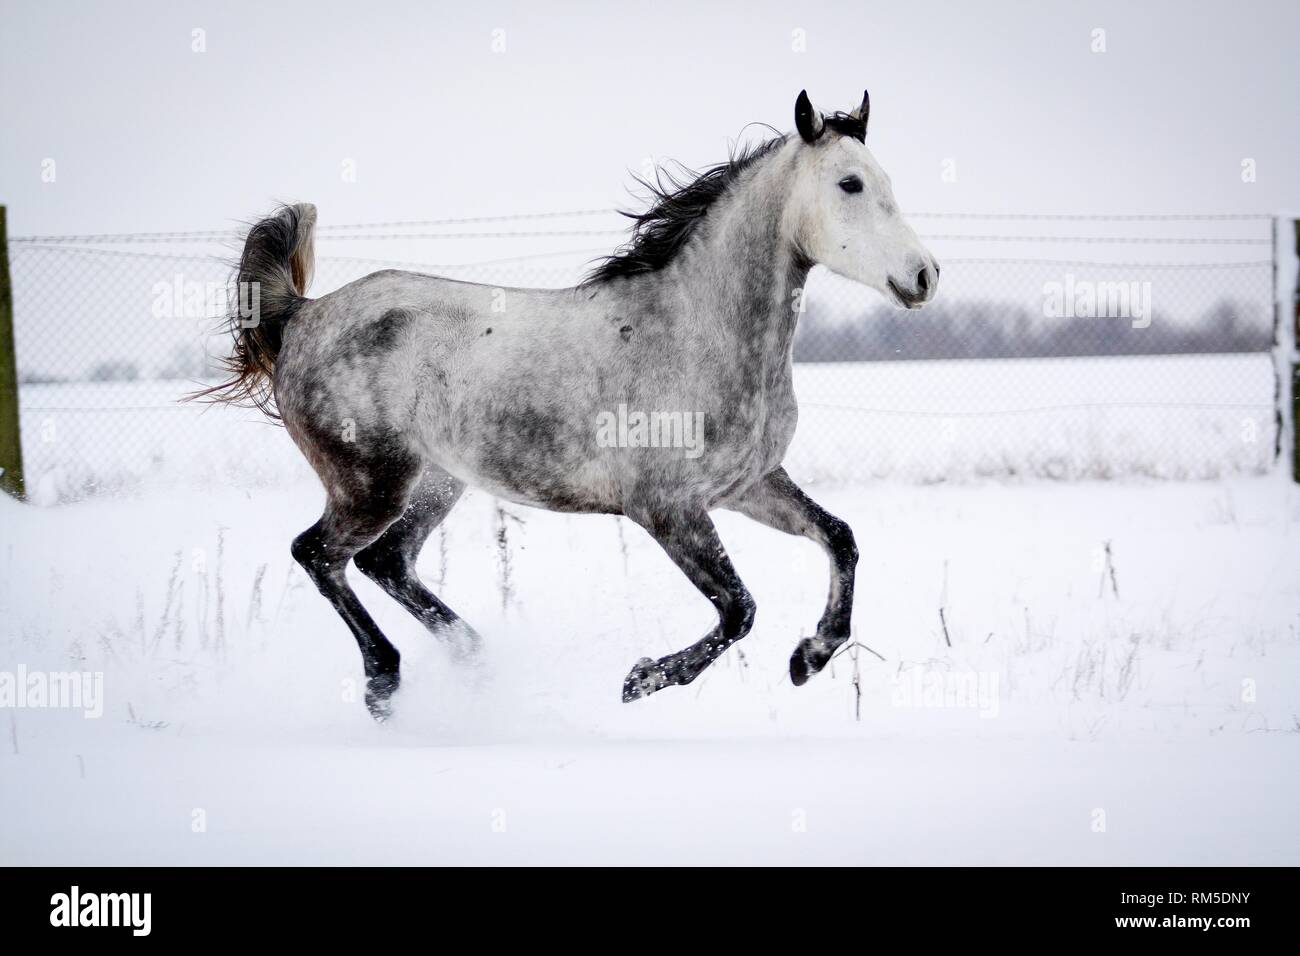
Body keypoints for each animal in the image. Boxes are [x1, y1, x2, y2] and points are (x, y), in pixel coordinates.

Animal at [201, 89, 939, 720]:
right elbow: (738, 609)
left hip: (438, 481)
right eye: (850, 184)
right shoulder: (666, 508)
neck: (696, 330)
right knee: (317, 554)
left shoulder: (749, 486)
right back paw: (385, 681)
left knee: (385, 561)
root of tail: (304, 315)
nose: (924, 275)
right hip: (369, 482)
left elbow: (839, 539)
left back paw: (476, 663)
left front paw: (809, 657)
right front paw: (640, 679)